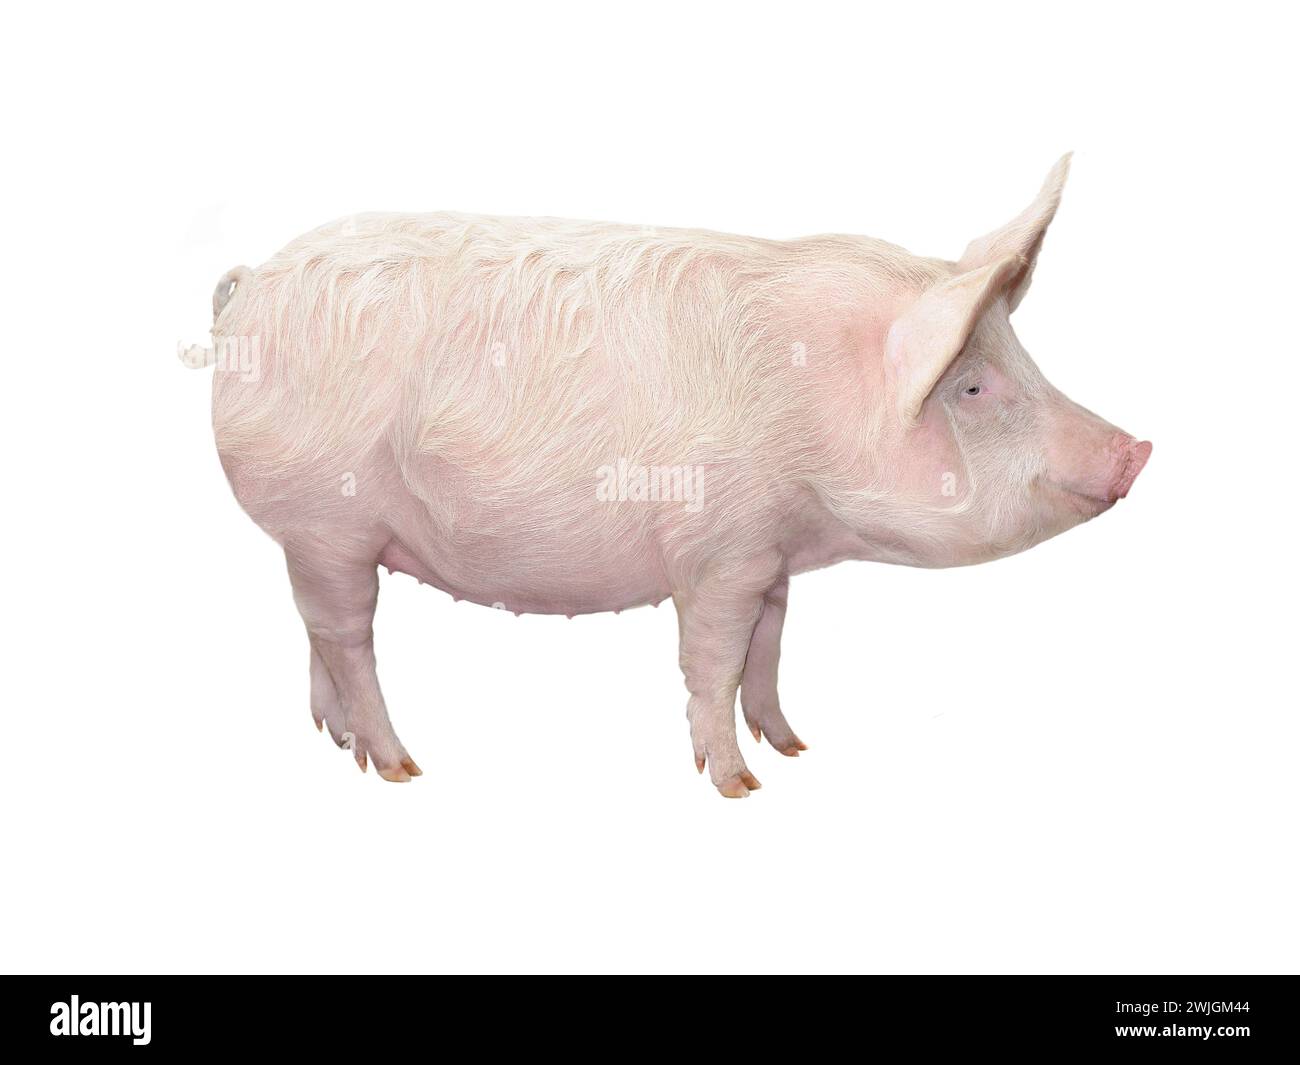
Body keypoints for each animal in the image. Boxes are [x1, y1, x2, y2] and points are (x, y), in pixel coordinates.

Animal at [190, 155, 1150, 796]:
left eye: (1020, 356)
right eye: (974, 385)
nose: (1136, 449)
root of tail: (250, 284)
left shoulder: (769, 556)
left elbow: (770, 645)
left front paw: (794, 746)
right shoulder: (718, 551)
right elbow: (714, 661)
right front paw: (740, 784)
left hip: (316, 539)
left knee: (318, 628)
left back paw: (336, 741)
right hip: (329, 521)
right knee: (351, 637)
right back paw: (400, 766)